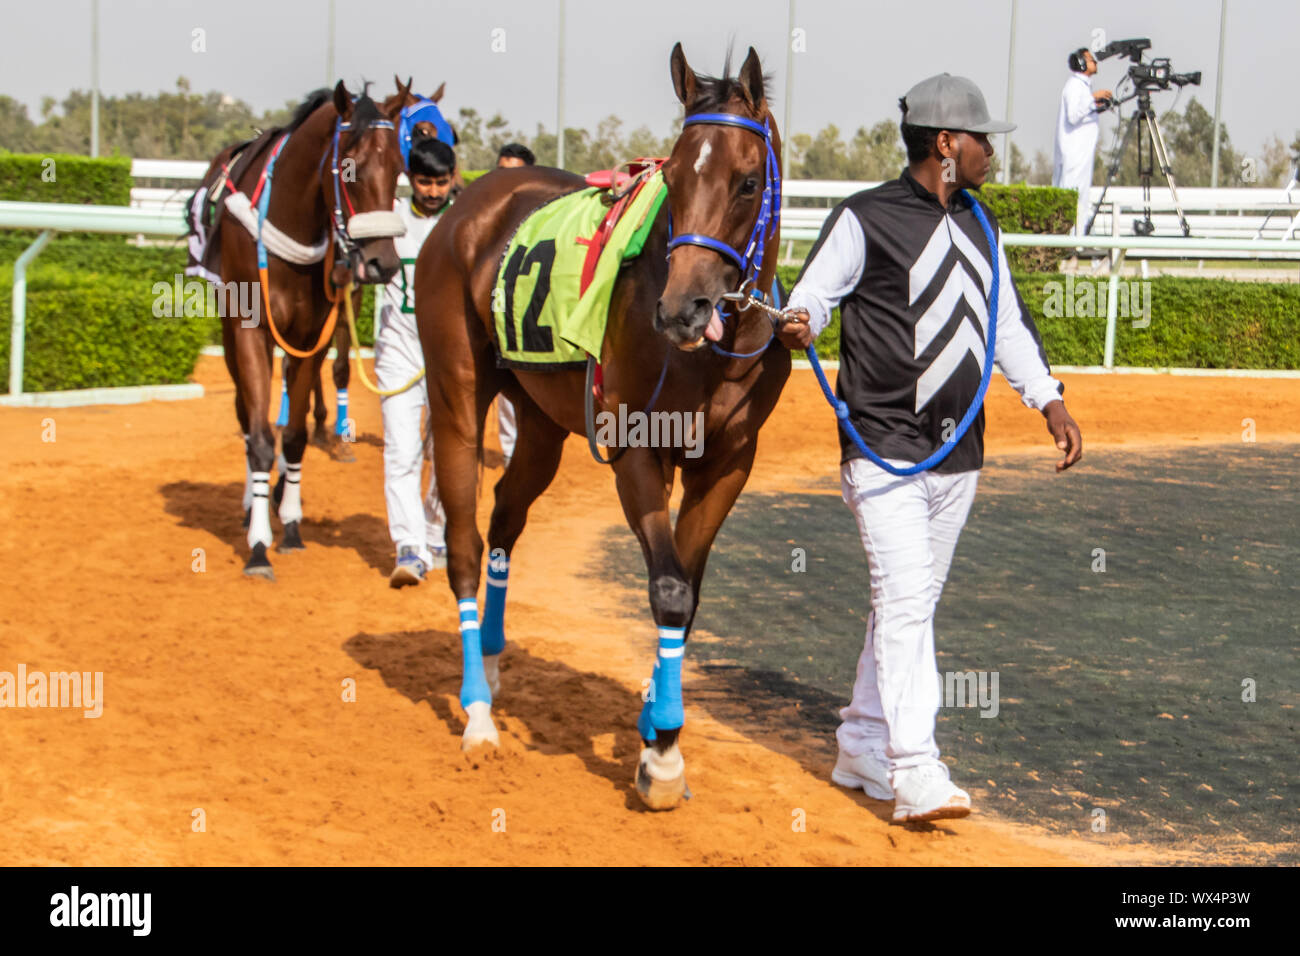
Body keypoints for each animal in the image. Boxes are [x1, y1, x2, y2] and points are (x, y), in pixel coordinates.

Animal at [210, 79, 412, 579]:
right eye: (349, 167)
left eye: (398, 168)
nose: (382, 262)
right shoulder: (249, 329)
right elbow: (260, 435)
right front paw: (258, 545)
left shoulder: (311, 334)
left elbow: (296, 435)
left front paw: (291, 525)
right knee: (246, 413)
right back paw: (252, 501)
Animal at [413, 43, 789, 810]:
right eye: (673, 176)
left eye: (746, 183)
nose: (681, 309)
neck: (710, 353)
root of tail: (469, 203)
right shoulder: (636, 451)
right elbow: (669, 589)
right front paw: (664, 752)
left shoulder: (728, 463)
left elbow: (690, 591)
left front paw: (651, 723)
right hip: (457, 395)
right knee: (464, 544)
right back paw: (477, 715)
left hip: (539, 418)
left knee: (506, 514)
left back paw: (493, 662)